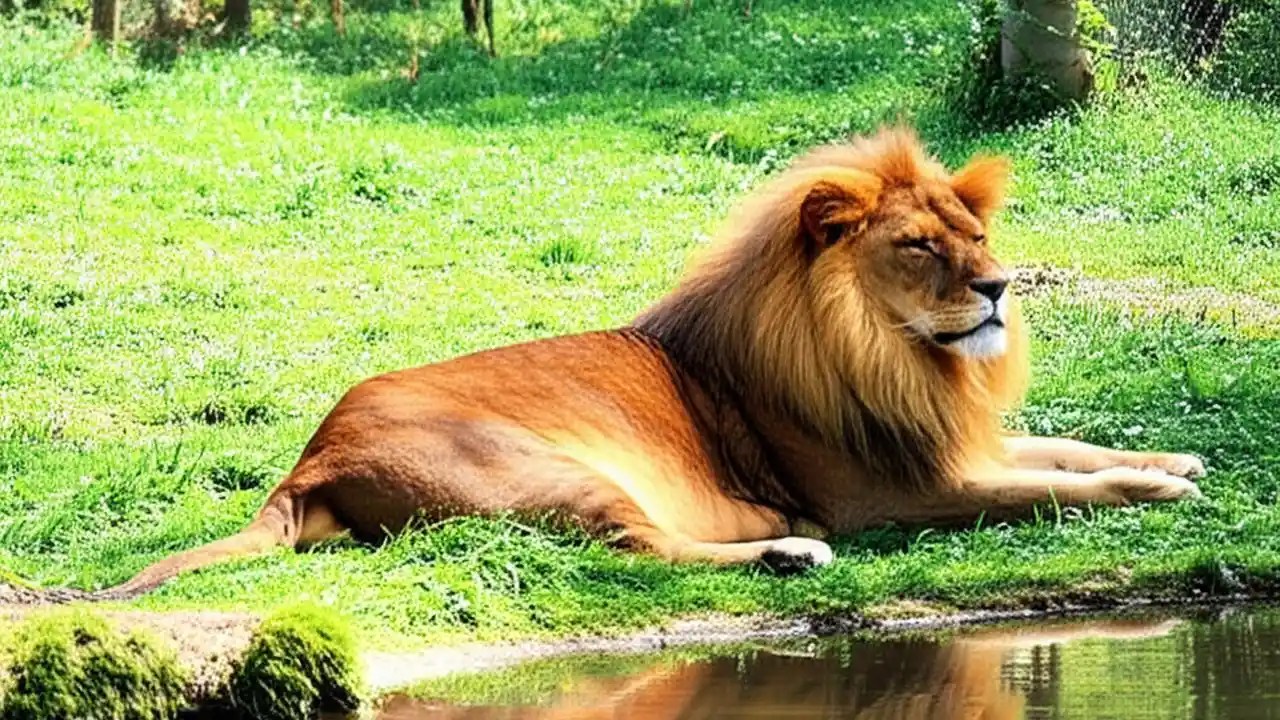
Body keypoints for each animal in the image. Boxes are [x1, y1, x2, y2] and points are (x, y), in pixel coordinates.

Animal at [94, 127, 1204, 599]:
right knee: (634, 549)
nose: (1001, 286)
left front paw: (1174, 459)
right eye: (920, 248)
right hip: (553, 474)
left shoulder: (952, 438)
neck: (900, 359)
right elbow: (1051, 489)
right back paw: (785, 553)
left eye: (972, 234)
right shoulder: (894, 494)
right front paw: (1160, 491)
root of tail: (309, 458)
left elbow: (1062, 448)